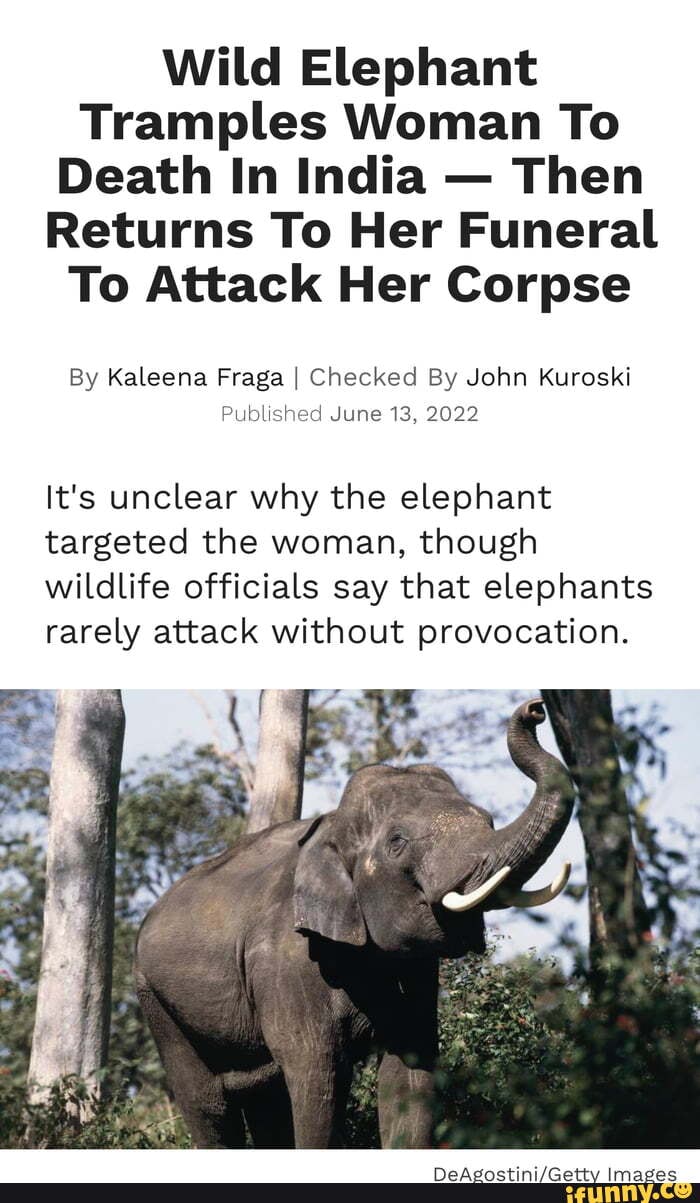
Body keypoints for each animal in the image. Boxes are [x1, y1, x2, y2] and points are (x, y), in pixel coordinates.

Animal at [134, 698, 574, 1148]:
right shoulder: (288, 965)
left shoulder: (416, 971)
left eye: (488, 820)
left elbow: (409, 1073)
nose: (535, 708)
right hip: (156, 1000)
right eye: (398, 842)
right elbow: (318, 1077)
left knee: (265, 1099)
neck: (331, 824)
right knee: (209, 1103)